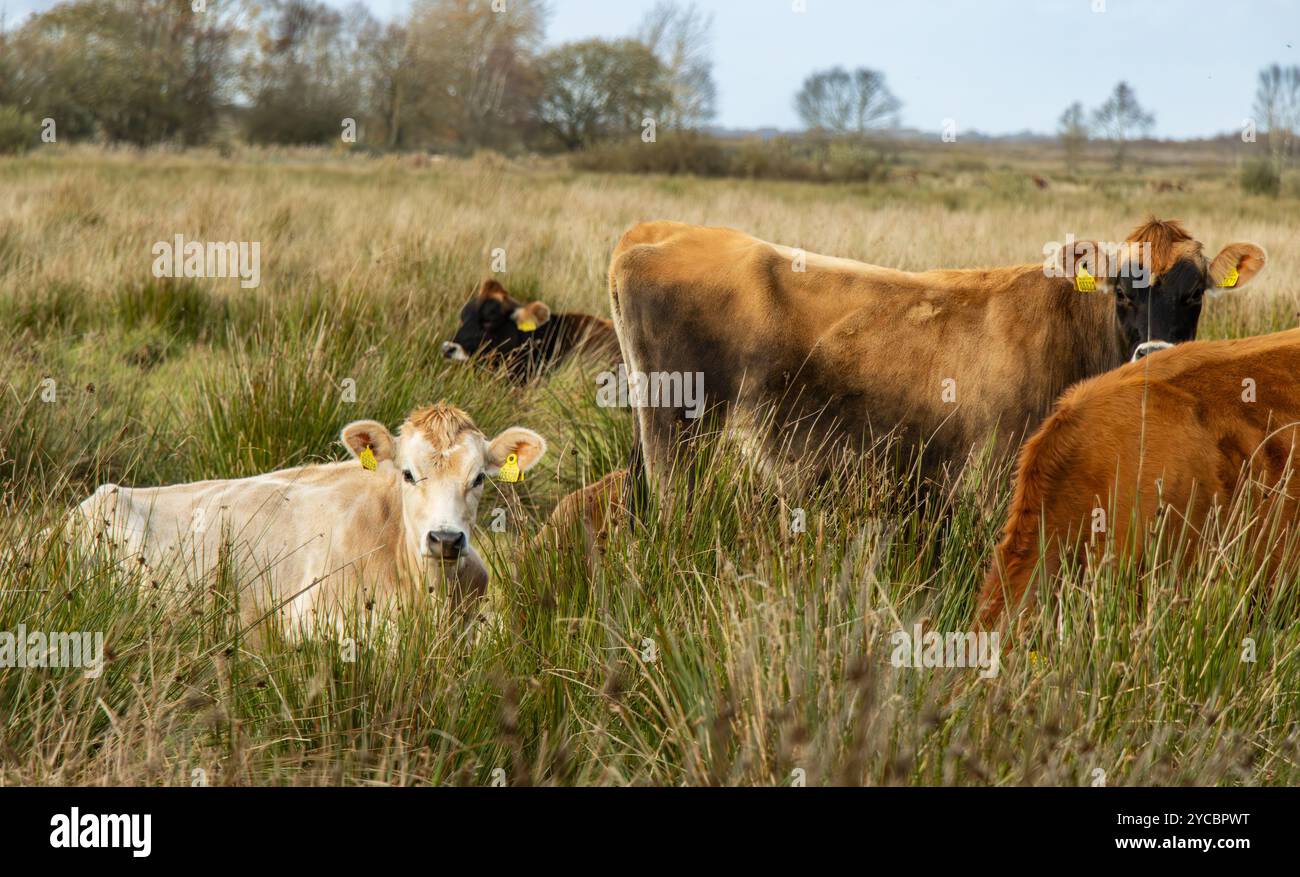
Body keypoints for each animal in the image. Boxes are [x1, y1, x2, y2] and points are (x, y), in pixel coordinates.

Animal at [608, 218, 1266, 503]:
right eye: (1123, 293)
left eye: (1195, 294)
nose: (1155, 358)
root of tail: (655, 232)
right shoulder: (996, 469)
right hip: (675, 433)